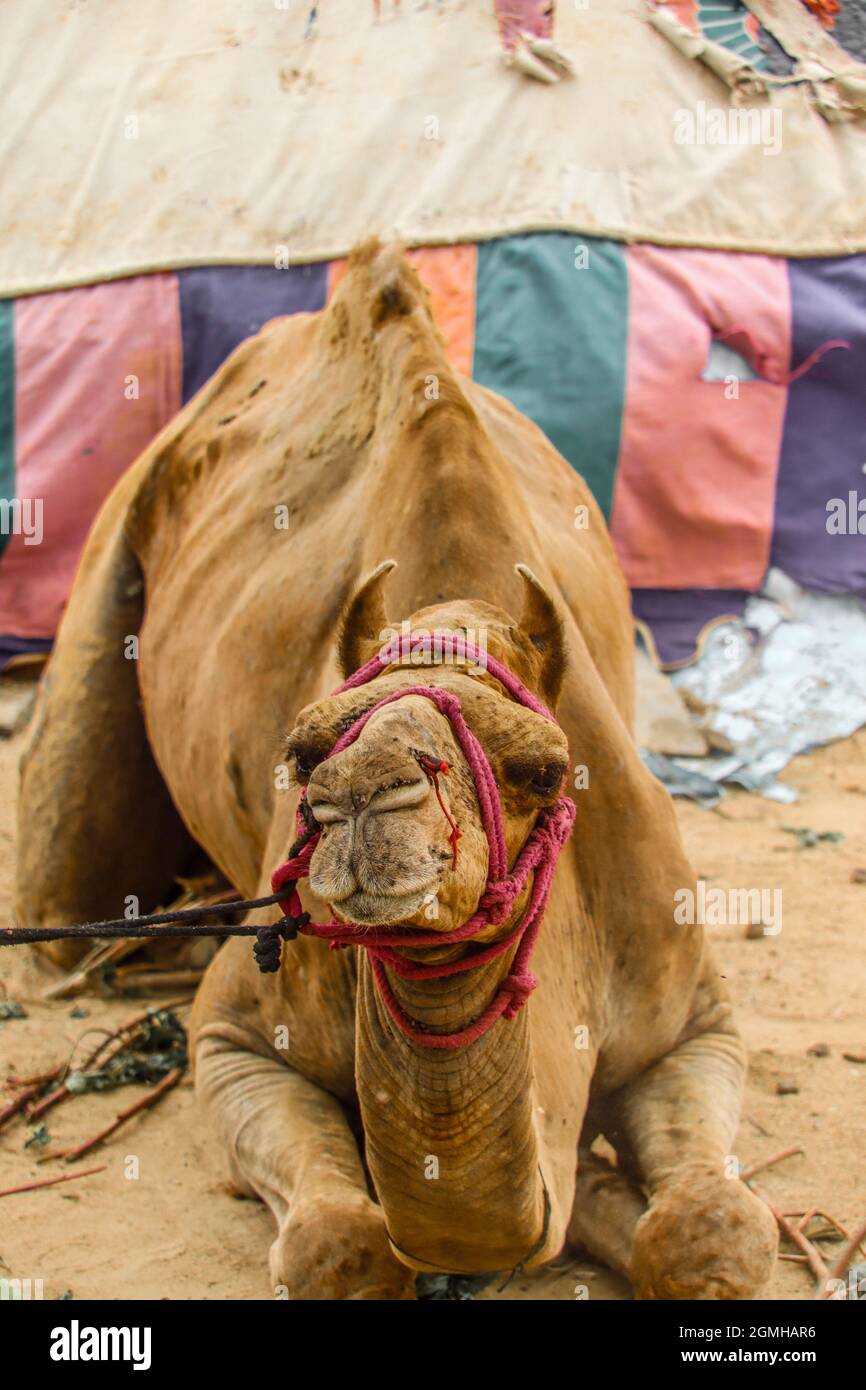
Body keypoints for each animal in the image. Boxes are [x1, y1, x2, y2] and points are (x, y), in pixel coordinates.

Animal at [17, 242, 777, 1299]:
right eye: (304, 753)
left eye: (547, 771)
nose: (369, 801)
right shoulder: (235, 1038)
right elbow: (340, 1245)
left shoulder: (696, 1015)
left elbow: (711, 1230)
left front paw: (603, 1198)